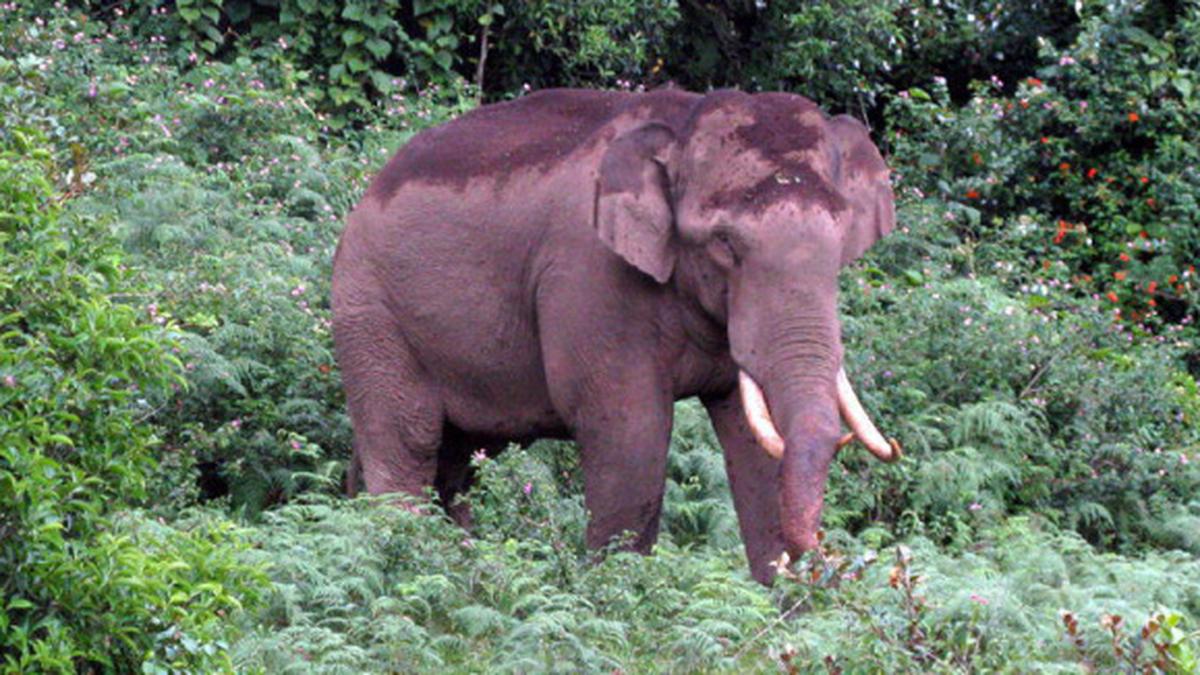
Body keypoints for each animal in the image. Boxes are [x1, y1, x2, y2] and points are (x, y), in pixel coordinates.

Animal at [332, 87, 900, 584]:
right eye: (724, 244)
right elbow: (630, 433)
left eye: (840, 240)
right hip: (370, 311)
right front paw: (618, 599)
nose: (849, 563)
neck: (682, 124)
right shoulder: (592, 279)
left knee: (457, 461)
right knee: (408, 444)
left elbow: (755, 443)